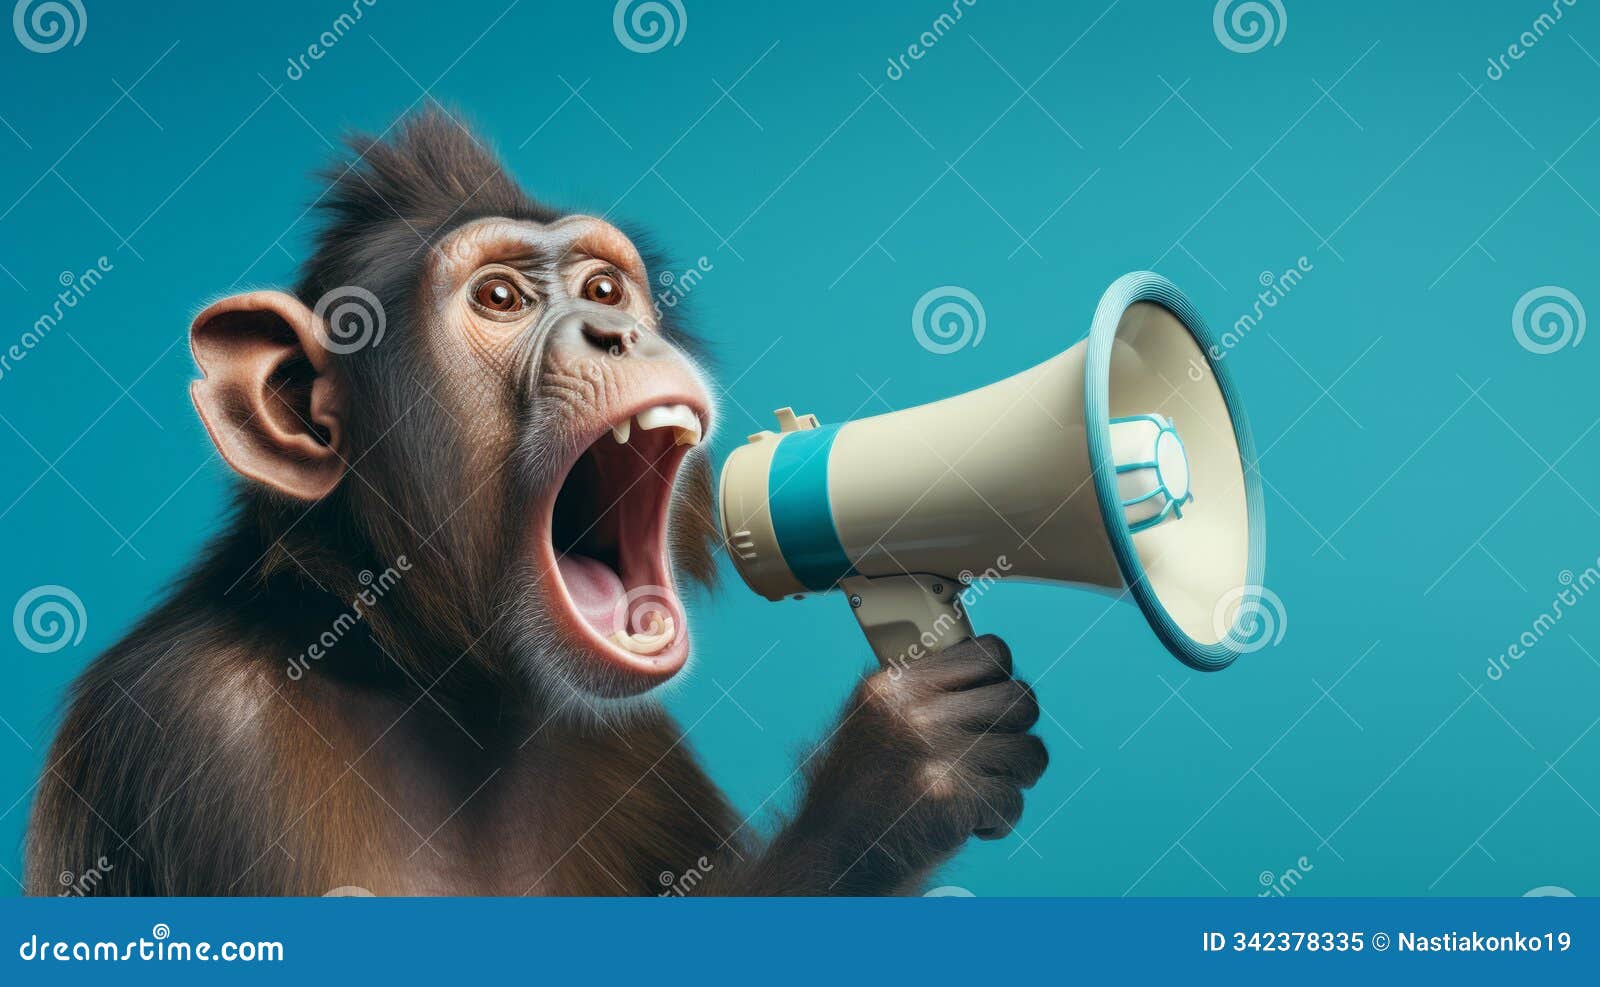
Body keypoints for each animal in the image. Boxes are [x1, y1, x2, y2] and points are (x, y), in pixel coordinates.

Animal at [23, 111, 1047, 896]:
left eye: (602, 286)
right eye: (503, 299)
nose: (613, 329)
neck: (421, 674)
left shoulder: (640, 748)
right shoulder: (195, 734)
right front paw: (896, 780)